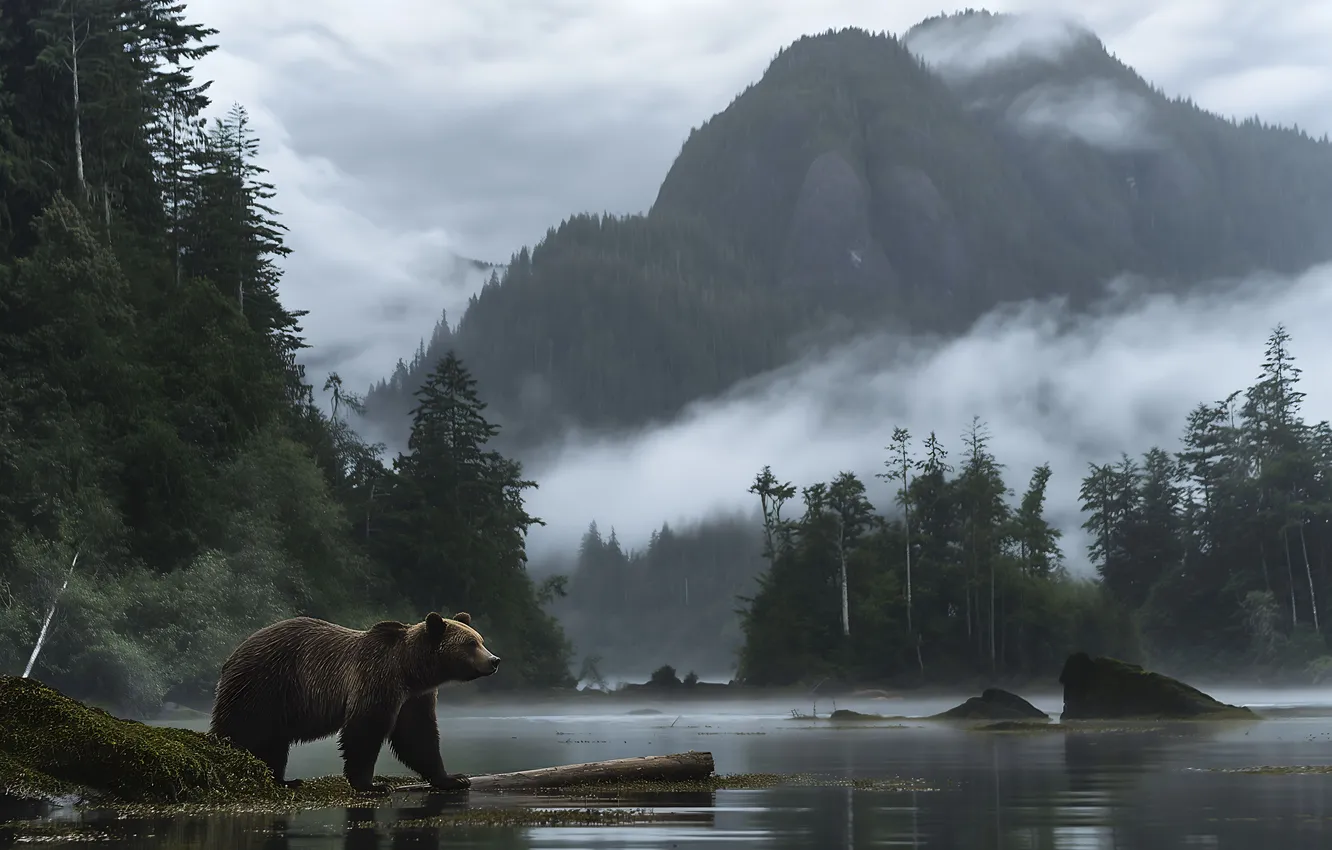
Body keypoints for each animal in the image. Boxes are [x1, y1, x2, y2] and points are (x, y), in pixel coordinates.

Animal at [209, 611, 499, 794]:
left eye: (480, 640)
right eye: (470, 643)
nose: (494, 660)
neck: (410, 670)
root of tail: (232, 655)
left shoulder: (414, 698)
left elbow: (418, 736)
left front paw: (453, 778)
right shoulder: (376, 679)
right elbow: (364, 730)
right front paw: (373, 785)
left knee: (274, 741)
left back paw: (283, 779)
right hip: (262, 684)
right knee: (241, 728)